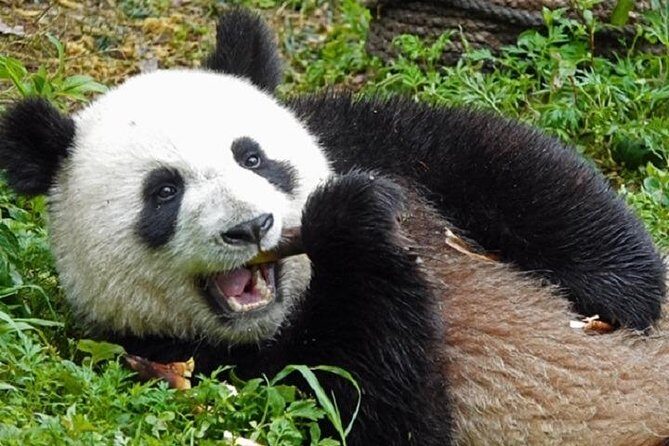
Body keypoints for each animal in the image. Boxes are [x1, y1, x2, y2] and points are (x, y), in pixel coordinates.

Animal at [0, 8, 667, 445]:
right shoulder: (189, 364)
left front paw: (626, 293)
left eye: (252, 156)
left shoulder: (368, 140)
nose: (253, 227)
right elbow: (375, 408)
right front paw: (351, 227)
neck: (290, 306)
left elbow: (496, 158)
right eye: (164, 192)